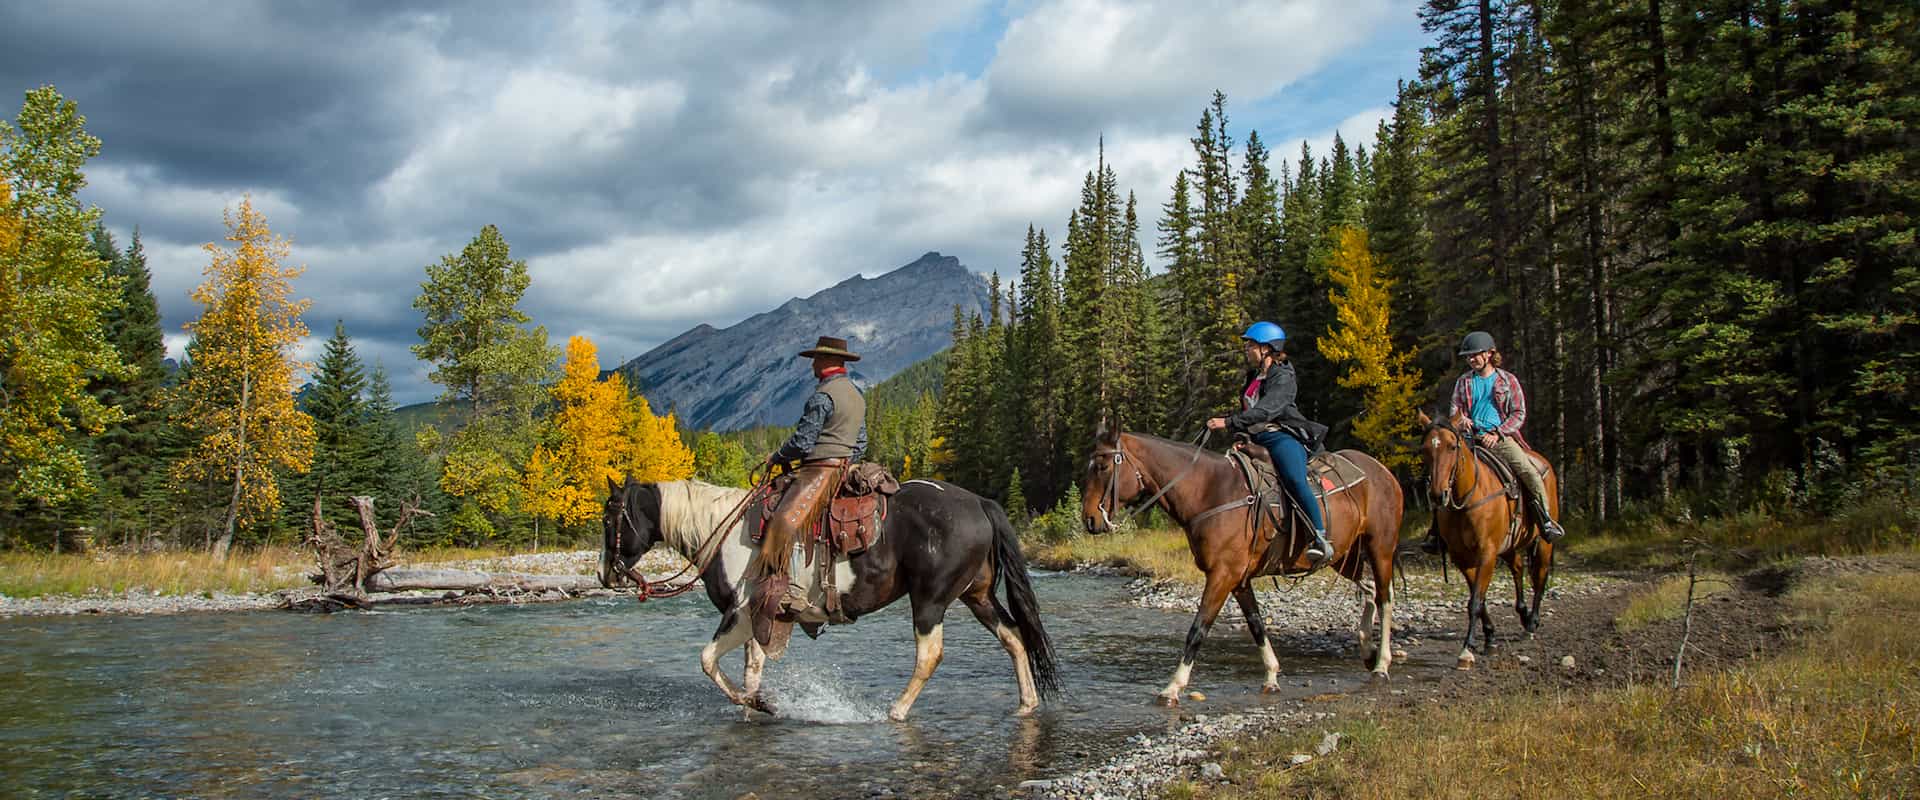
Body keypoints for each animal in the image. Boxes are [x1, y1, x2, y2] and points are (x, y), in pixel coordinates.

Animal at [599, 477, 1059, 721]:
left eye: (608, 517)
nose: (606, 575)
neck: (722, 533)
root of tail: (980, 503)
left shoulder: (741, 614)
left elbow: (708, 660)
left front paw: (760, 704)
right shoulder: (759, 620)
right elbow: (751, 670)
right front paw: (754, 706)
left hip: (929, 601)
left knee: (930, 655)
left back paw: (895, 711)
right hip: (976, 596)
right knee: (1014, 636)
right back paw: (1027, 703)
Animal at [1082, 423, 1413, 705]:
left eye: (1102, 467)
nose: (1089, 520)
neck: (1209, 492)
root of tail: (1383, 472)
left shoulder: (1222, 576)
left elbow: (1198, 629)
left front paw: (1172, 688)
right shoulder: (1239, 580)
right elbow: (1256, 624)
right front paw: (1271, 677)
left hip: (1380, 547)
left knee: (1384, 597)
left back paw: (1381, 665)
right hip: (1344, 556)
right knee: (1368, 589)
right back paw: (1367, 649)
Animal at [1420, 410, 1551, 667]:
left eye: (1452, 446)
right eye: (1425, 449)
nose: (1438, 495)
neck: (1467, 499)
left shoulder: (1487, 554)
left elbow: (1476, 602)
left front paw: (1467, 647)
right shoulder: (1462, 557)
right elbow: (1478, 599)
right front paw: (1489, 636)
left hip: (1543, 542)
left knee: (1540, 576)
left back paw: (1532, 622)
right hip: (1509, 546)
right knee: (1518, 568)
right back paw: (1523, 613)